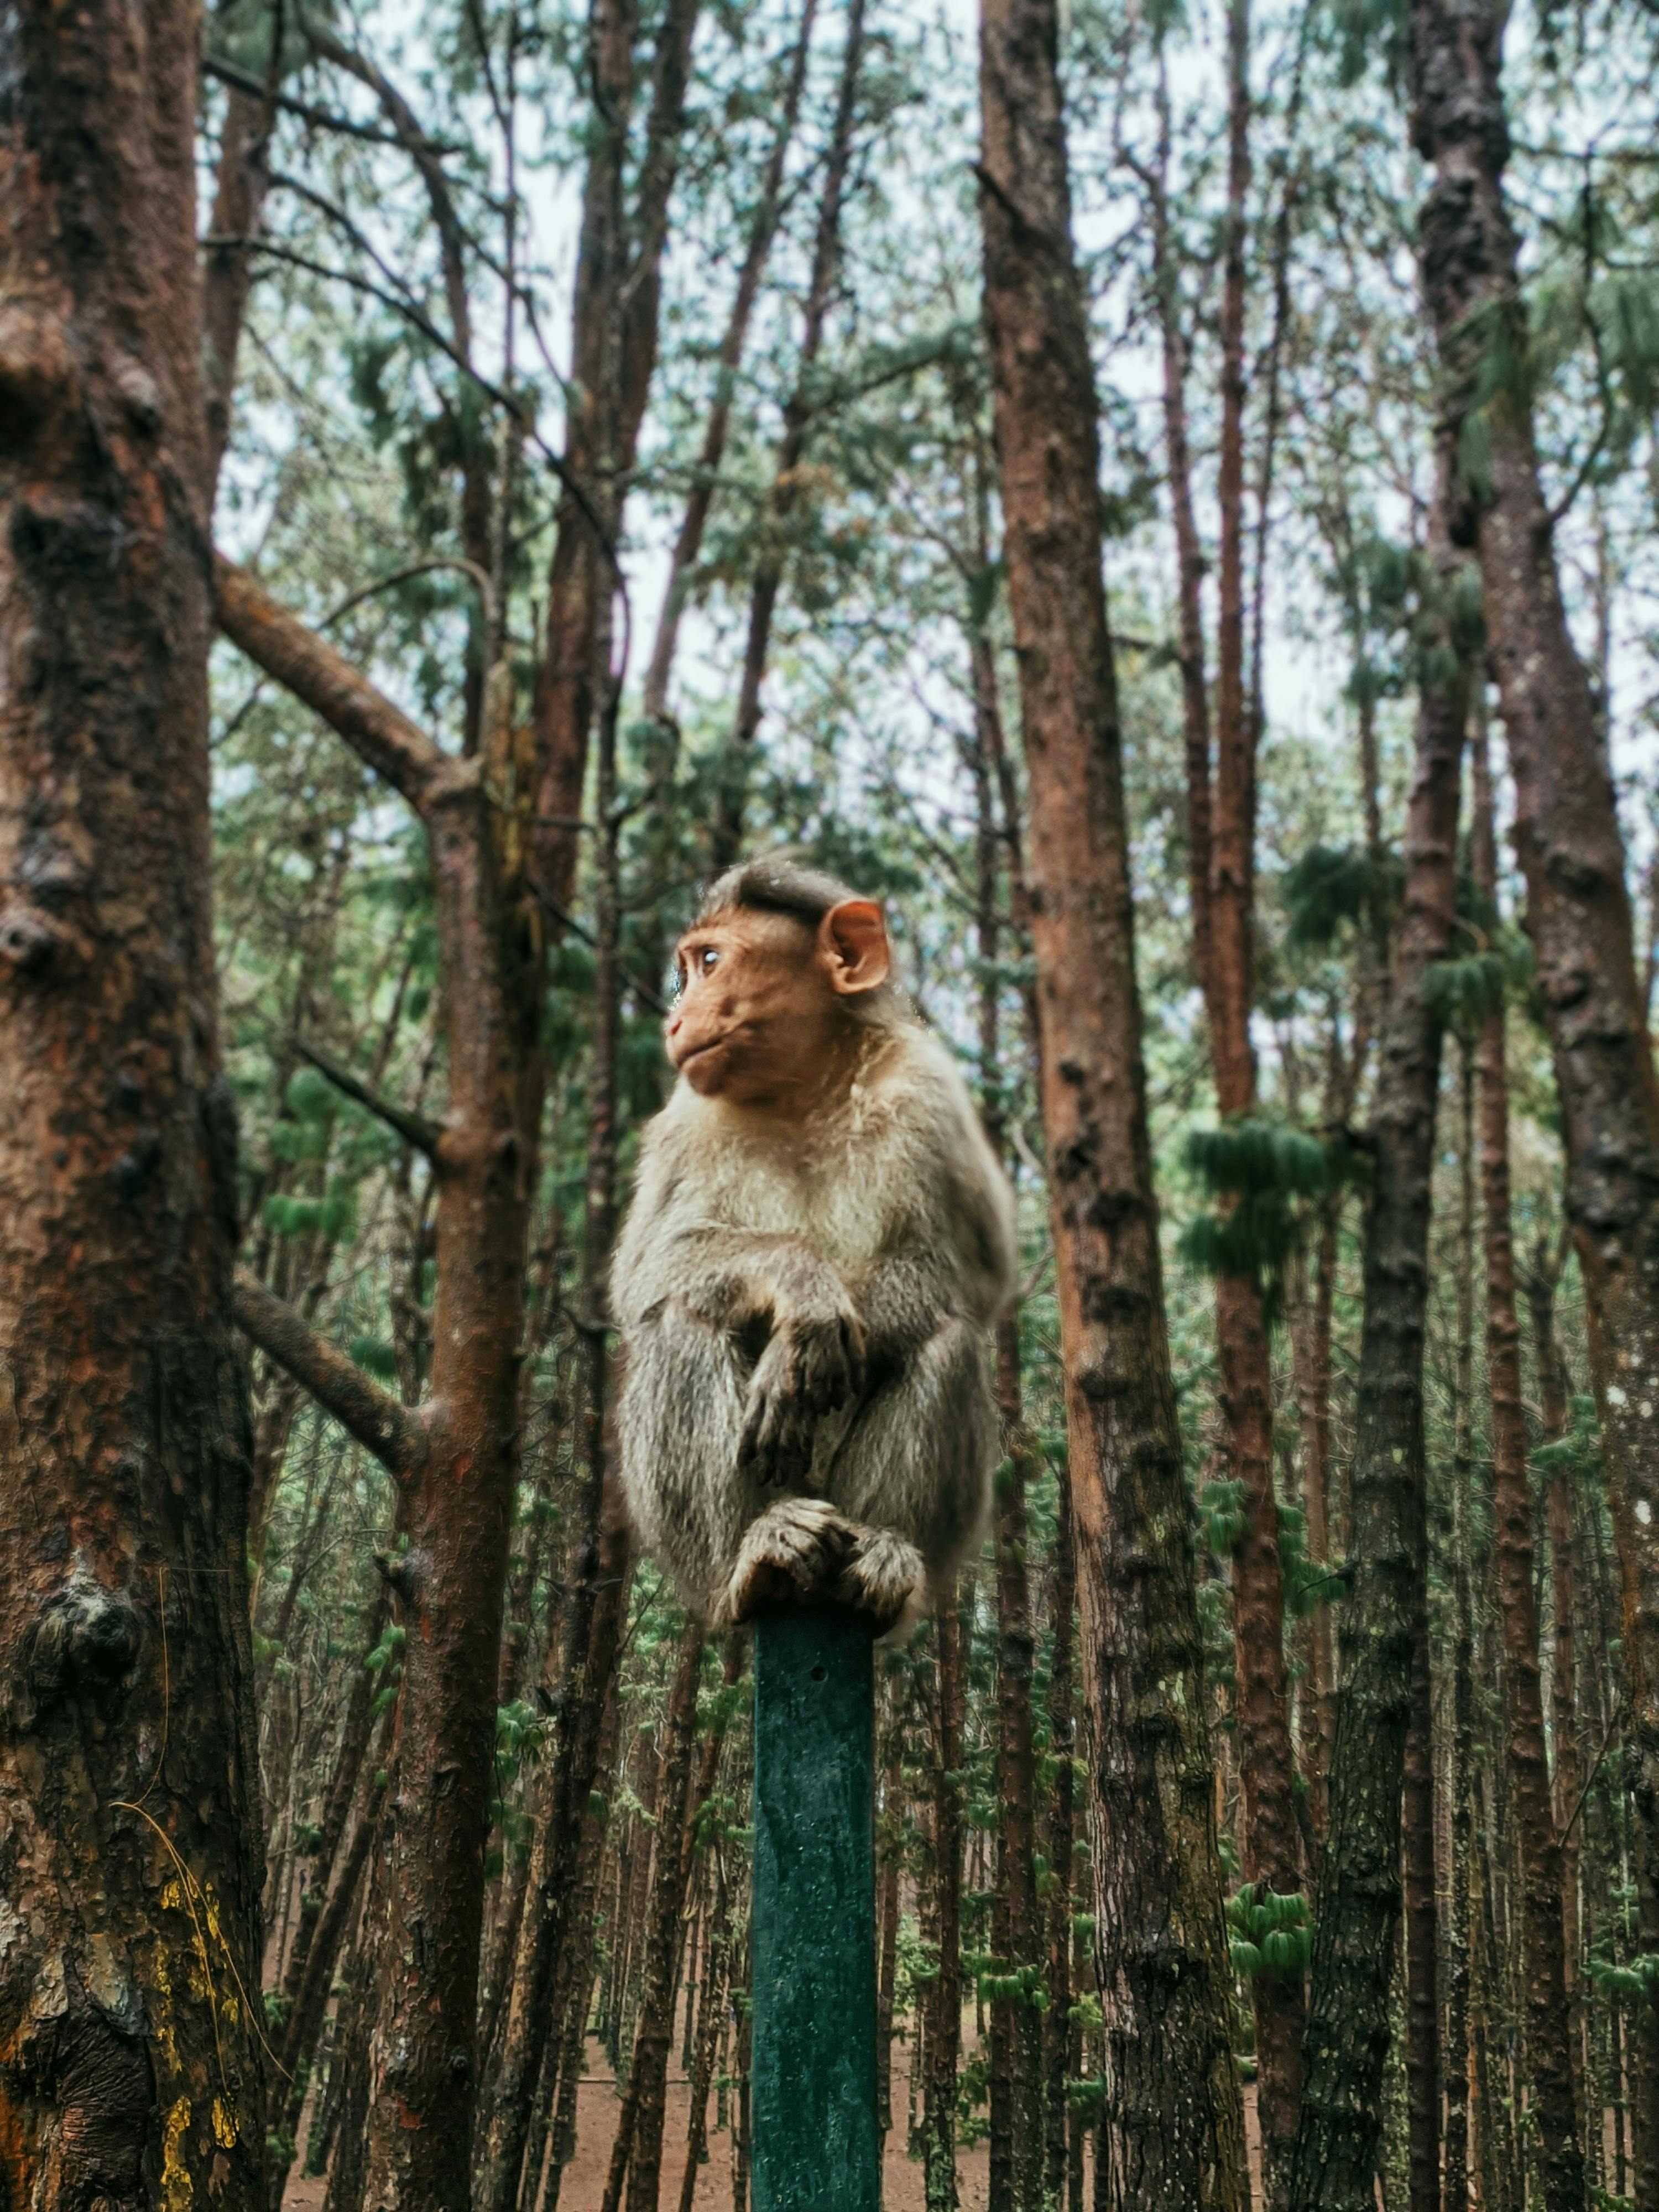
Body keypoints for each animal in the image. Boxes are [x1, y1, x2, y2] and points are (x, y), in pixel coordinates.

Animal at [610, 854, 1017, 1637]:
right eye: (690, 966)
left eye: (711, 962)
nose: (675, 1018)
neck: (801, 1091)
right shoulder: (685, 1117)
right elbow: (647, 1271)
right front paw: (802, 1285)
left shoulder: (928, 1089)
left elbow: (973, 1276)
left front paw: (796, 1355)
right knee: (681, 1317)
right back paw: (757, 1555)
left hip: (845, 1504)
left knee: (946, 1337)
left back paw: (886, 1558)